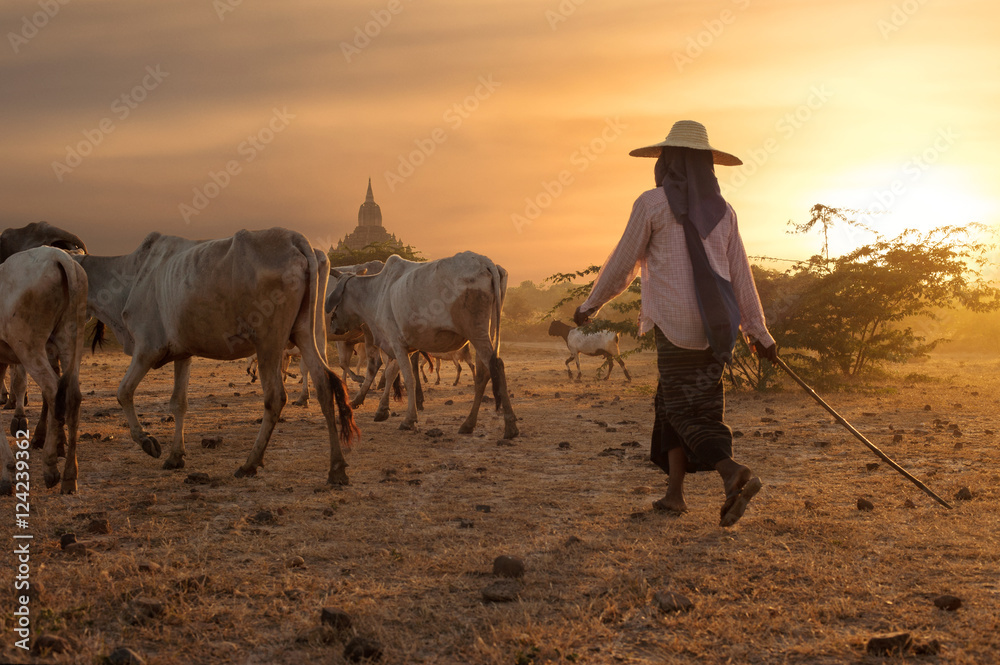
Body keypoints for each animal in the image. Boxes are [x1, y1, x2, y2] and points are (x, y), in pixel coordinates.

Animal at [0, 247, 87, 494]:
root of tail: (60, 257)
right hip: (71, 341)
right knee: (73, 397)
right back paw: (69, 476)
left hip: (30, 348)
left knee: (52, 390)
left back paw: (51, 467)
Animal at [77, 228, 359, 485]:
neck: (132, 274)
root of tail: (296, 239)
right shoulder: (183, 353)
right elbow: (178, 403)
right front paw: (175, 456)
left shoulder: (147, 349)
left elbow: (123, 392)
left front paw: (148, 442)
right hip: (308, 334)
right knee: (325, 386)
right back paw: (337, 468)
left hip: (268, 341)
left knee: (276, 397)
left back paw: (249, 464)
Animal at [325, 251, 518, 439]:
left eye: (337, 300)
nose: (332, 325)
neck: (378, 290)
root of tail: (485, 261)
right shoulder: (403, 346)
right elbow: (391, 373)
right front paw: (382, 410)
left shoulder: (396, 343)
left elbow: (407, 378)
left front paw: (409, 419)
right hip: (487, 332)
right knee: (483, 373)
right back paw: (468, 424)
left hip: (476, 333)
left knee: (496, 366)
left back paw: (509, 426)